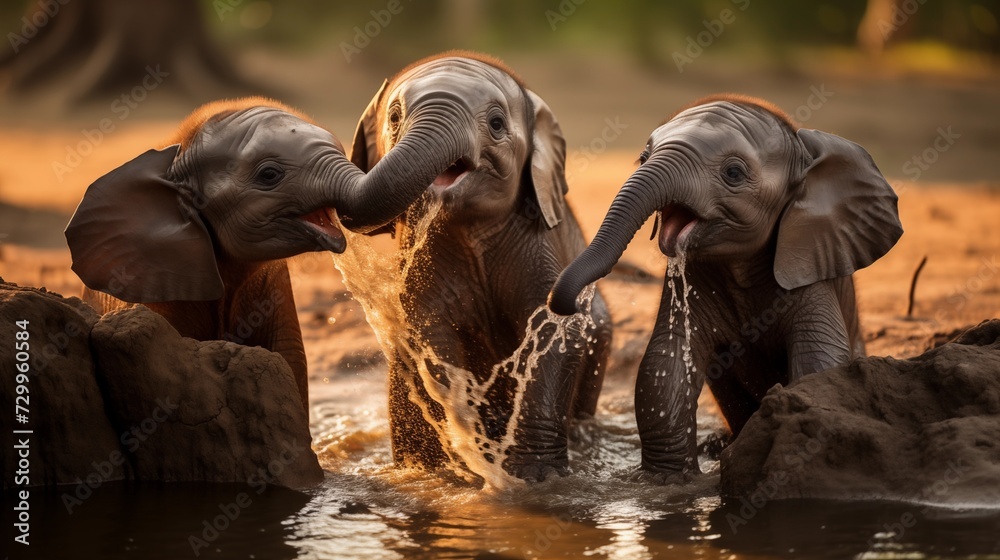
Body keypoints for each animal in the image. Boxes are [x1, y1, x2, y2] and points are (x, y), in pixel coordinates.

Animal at [349, 52, 612, 481]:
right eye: (394, 116)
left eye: (496, 124)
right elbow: (426, 335)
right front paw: (452, 470)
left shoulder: (539, 246)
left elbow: (556, 333)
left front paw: (533, 478)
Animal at [548, 94, 903, 480]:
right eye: (643, 158)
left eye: (733, 173)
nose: (569, 305)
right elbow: (667, 359)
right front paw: (666, 481)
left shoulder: (810, 269)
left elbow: (819, 358)